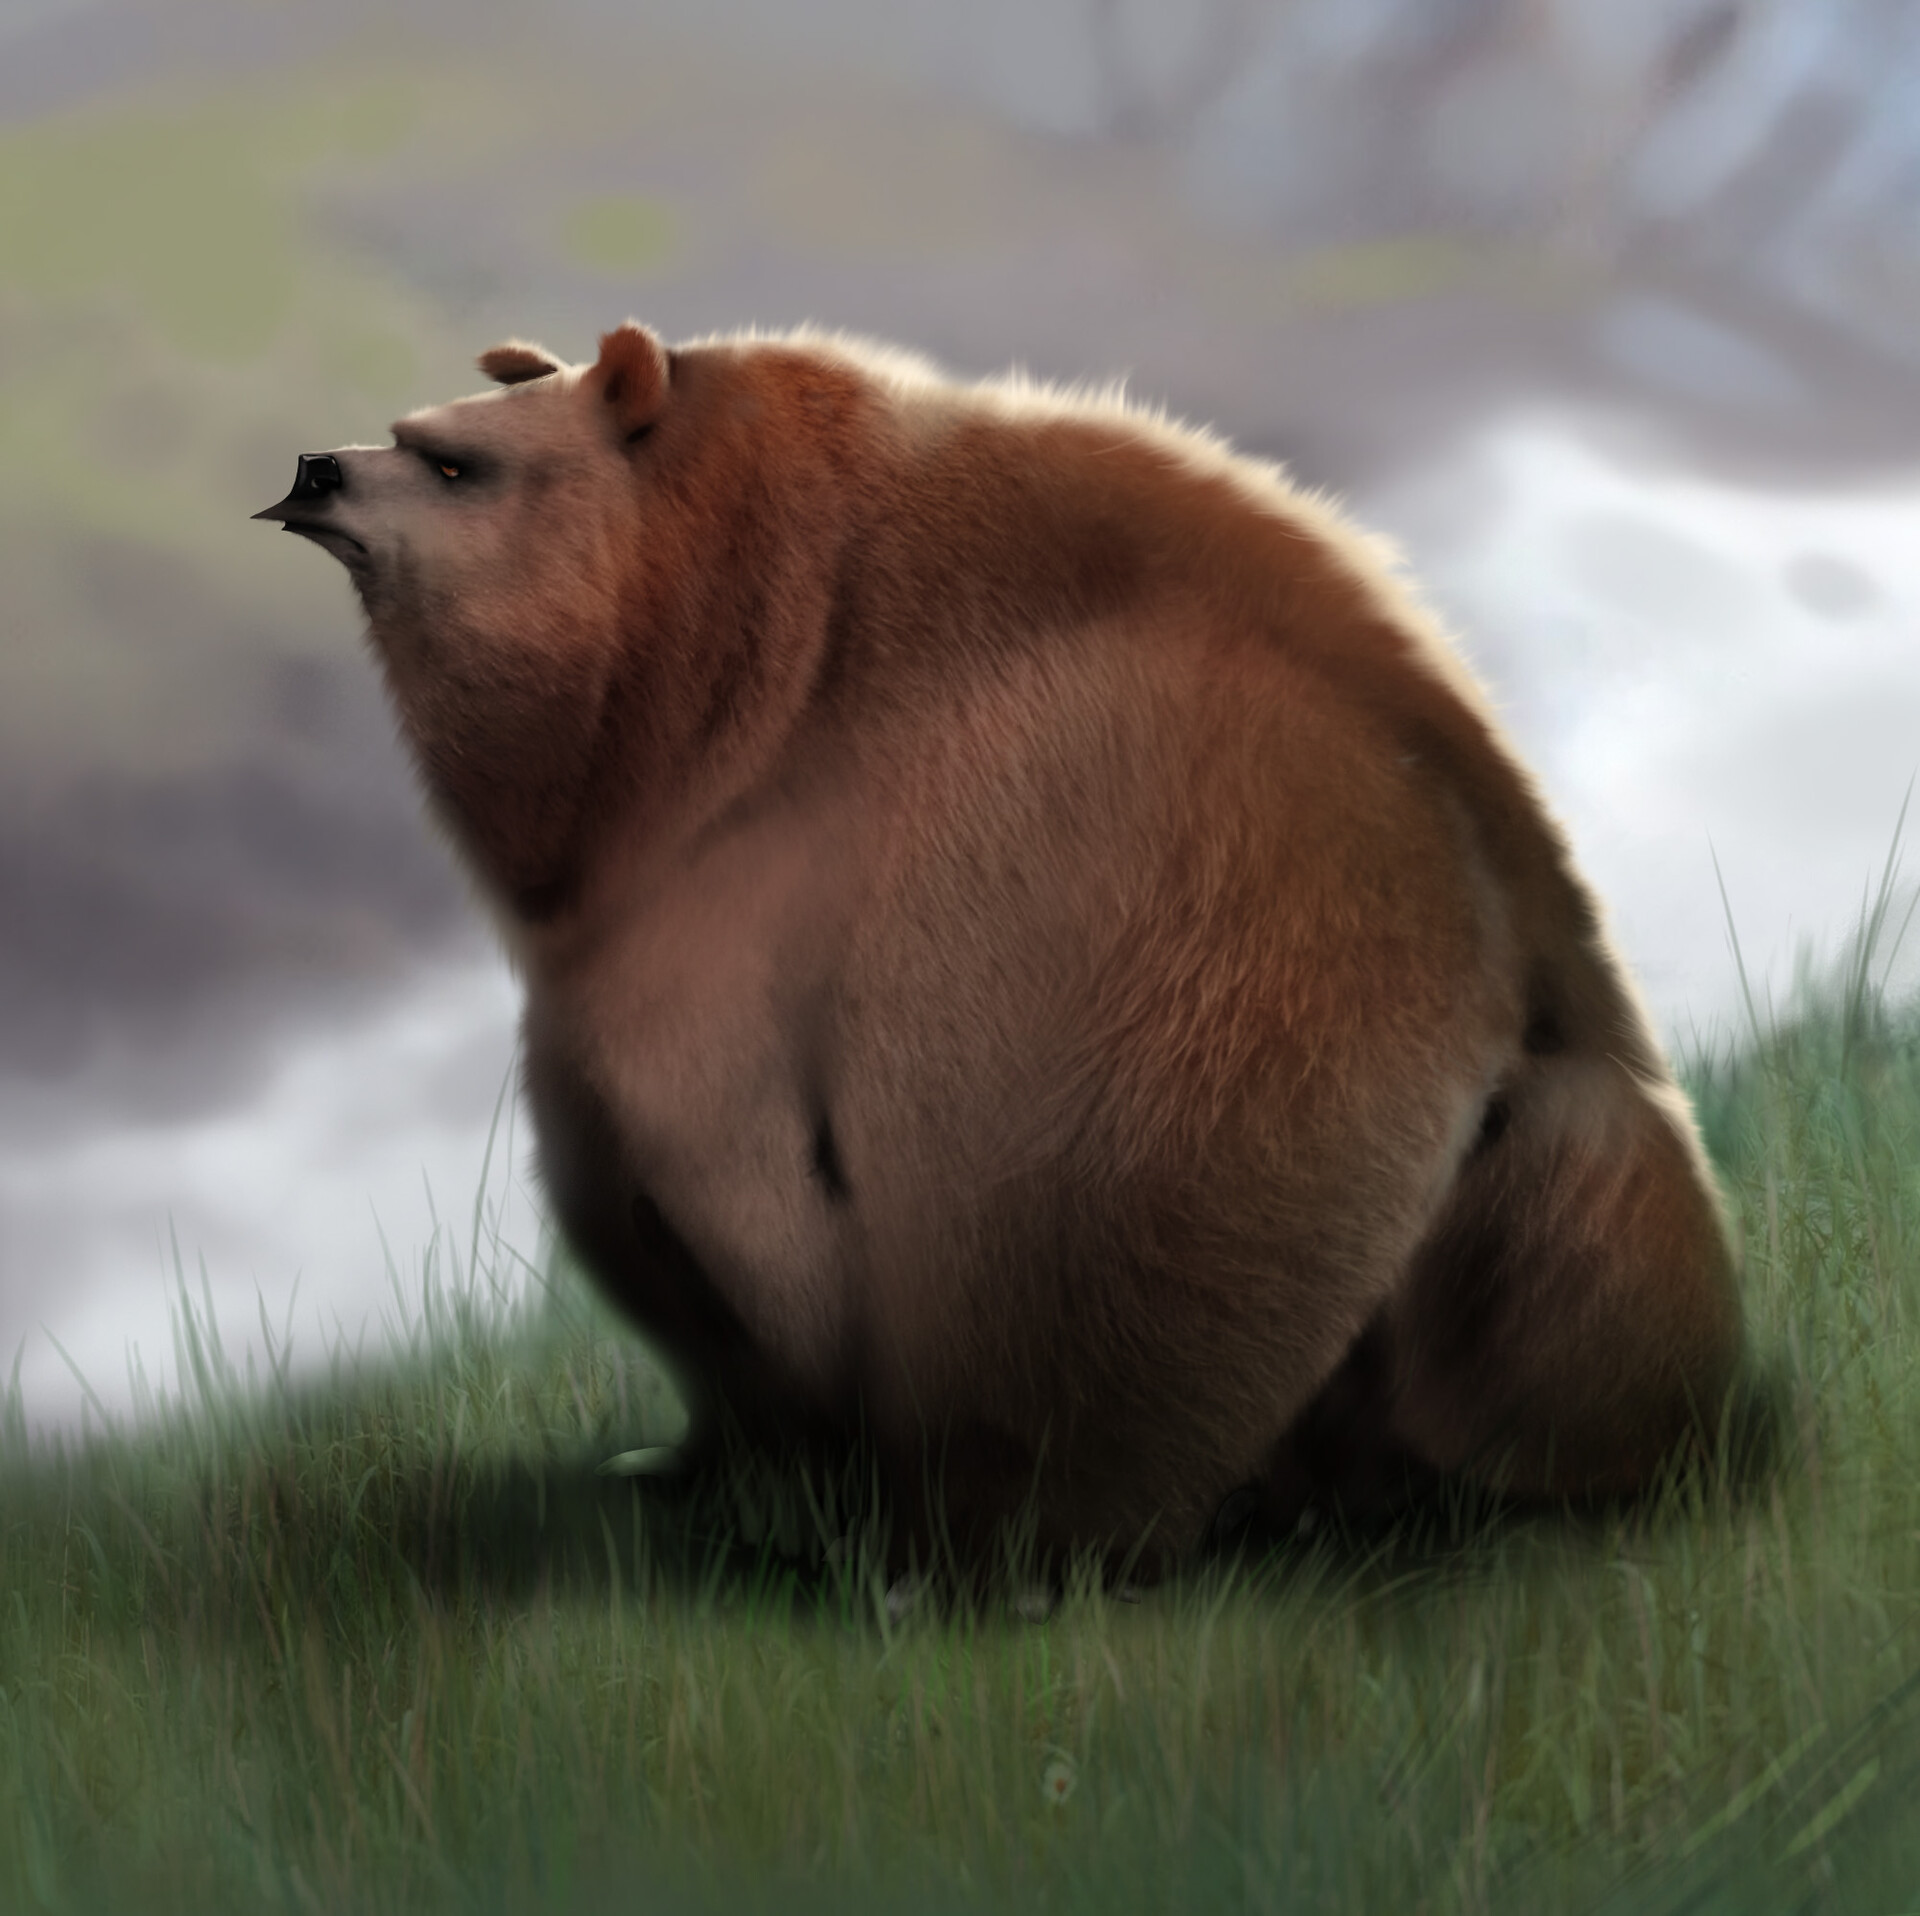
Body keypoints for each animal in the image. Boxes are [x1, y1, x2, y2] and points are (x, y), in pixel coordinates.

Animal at [256, 321, 1744, 1570]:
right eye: (409, 425)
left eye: (456, 461)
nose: (315, 467)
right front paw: (683, 1463)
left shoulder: (853, 878)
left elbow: (739, 1169)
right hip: (1566, 1172)